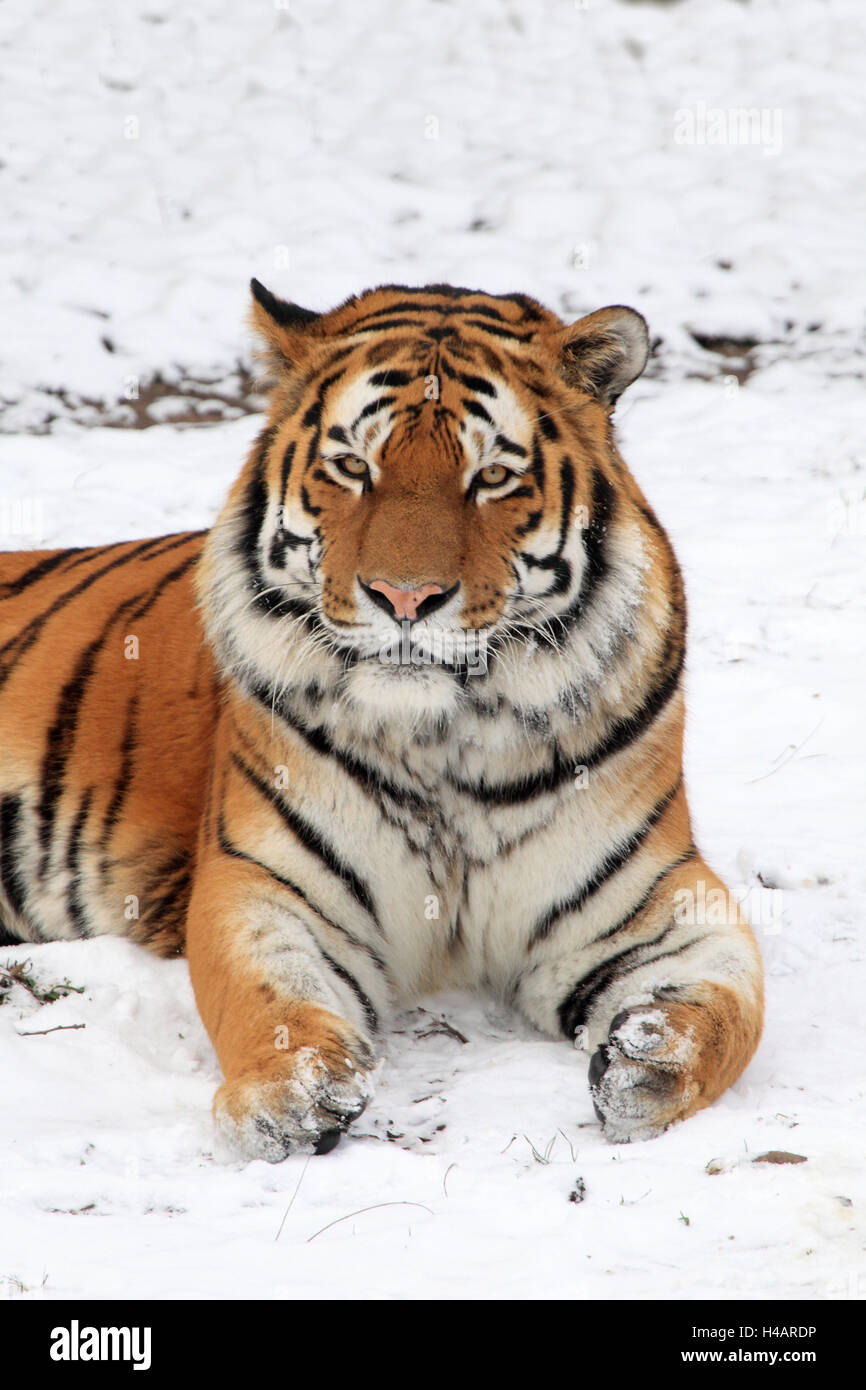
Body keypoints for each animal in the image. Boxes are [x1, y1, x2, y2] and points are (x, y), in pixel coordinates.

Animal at [0, 279, 763, 1159]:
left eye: (492, 476)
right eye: (351, 467)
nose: (404, 597)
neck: (444, 742)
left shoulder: (653, 895)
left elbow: (732, 1004)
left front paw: (650, 1061)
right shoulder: (262, 882)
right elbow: (267, 996)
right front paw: (288, 1095)